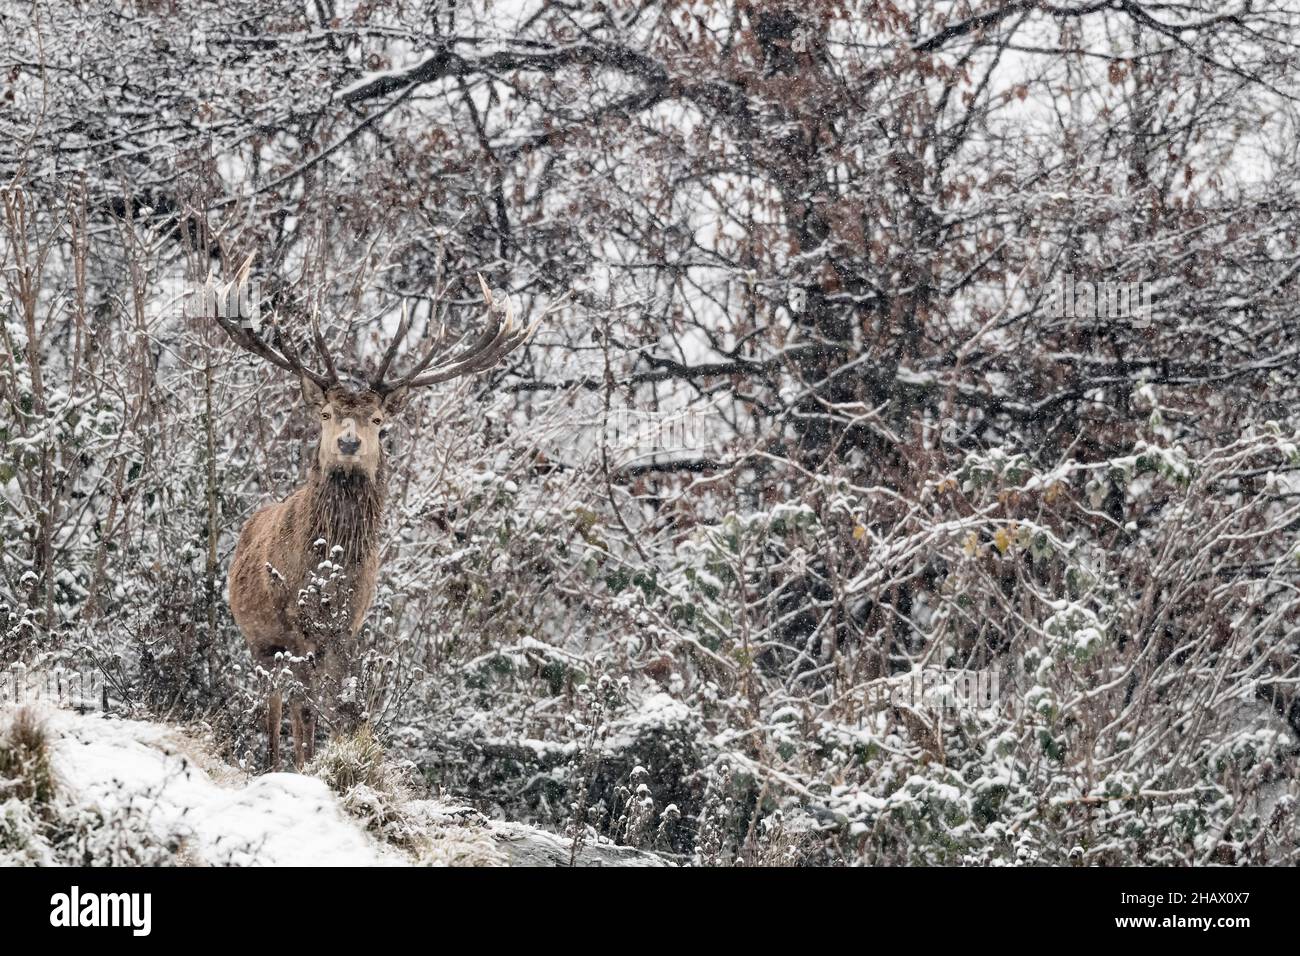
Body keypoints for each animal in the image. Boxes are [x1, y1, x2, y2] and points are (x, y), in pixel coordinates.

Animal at [215, 276, 534, 771]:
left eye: (378, 419)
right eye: (326, 414)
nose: (348, 443)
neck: (330, 565)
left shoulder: (346, 629)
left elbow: (344, 704)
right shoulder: (294, 627)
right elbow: (306, 706)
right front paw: (304, 766)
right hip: (261, 640)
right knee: (275, 700)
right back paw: (272, 759)